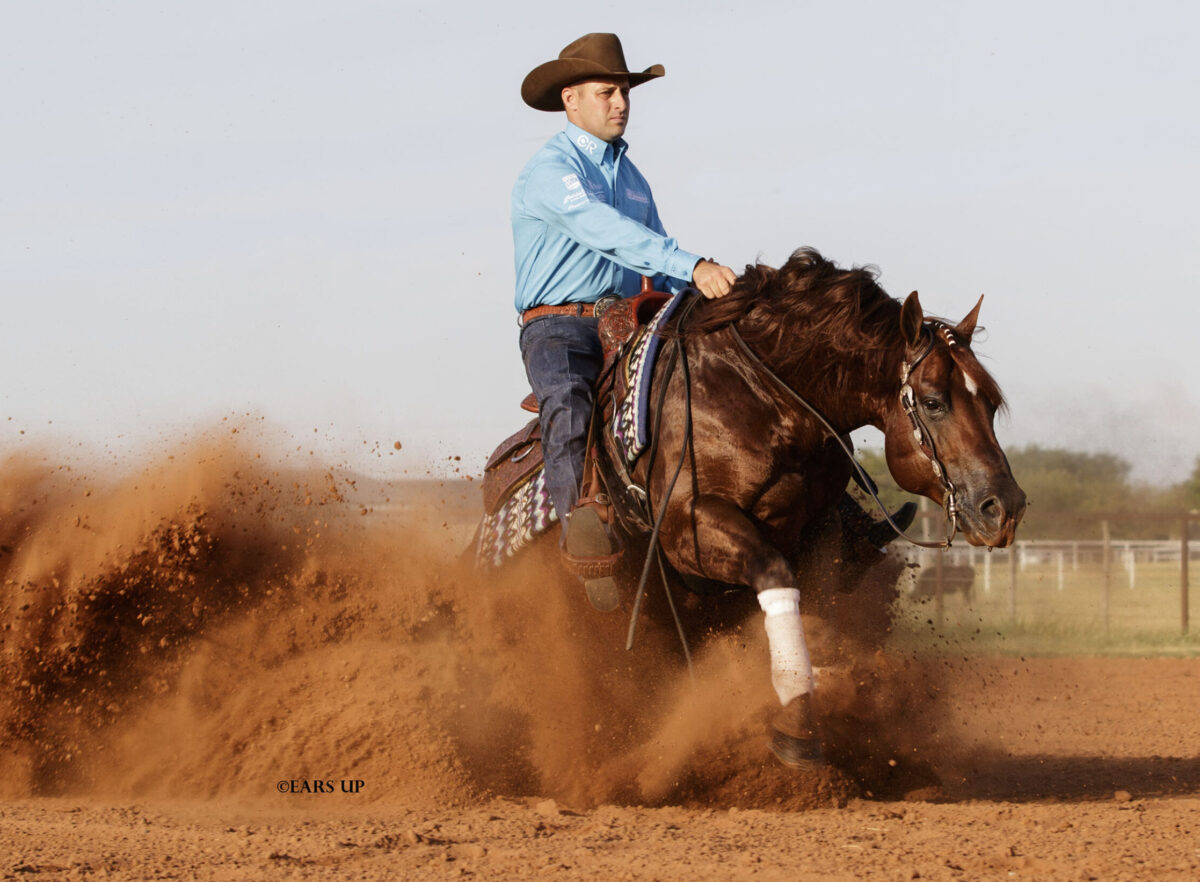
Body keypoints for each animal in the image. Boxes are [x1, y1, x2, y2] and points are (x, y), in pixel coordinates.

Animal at [480, 247, 1026, 769]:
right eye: (933, 402)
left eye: (991, 403)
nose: (1004, 507)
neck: (762, 394)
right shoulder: (688, 530)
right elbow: (774, 573)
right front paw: (797, 723)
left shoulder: (818, 531)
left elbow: (815, 603)